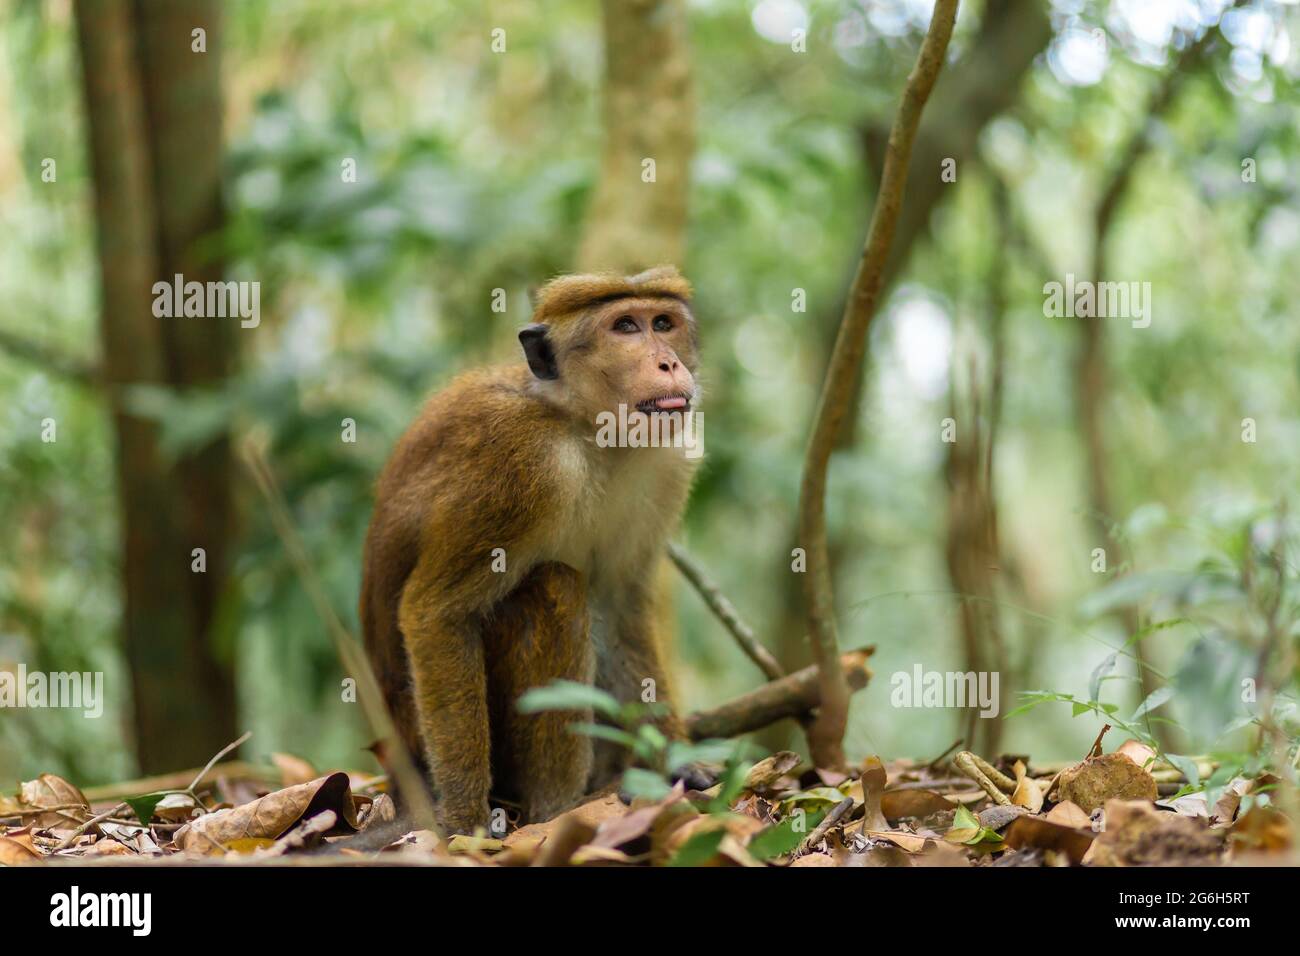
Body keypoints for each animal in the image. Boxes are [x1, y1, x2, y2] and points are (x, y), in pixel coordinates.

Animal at [360, 265, 706, 835]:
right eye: (625, 327)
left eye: (663, 323)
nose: (669, 362)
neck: (584, 429)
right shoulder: (518, 461)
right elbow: (436, 613)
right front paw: (465, 821)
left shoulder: (666, 467)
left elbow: (620, 602)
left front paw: (678, 760)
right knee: (554, 584)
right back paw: (557, 809)